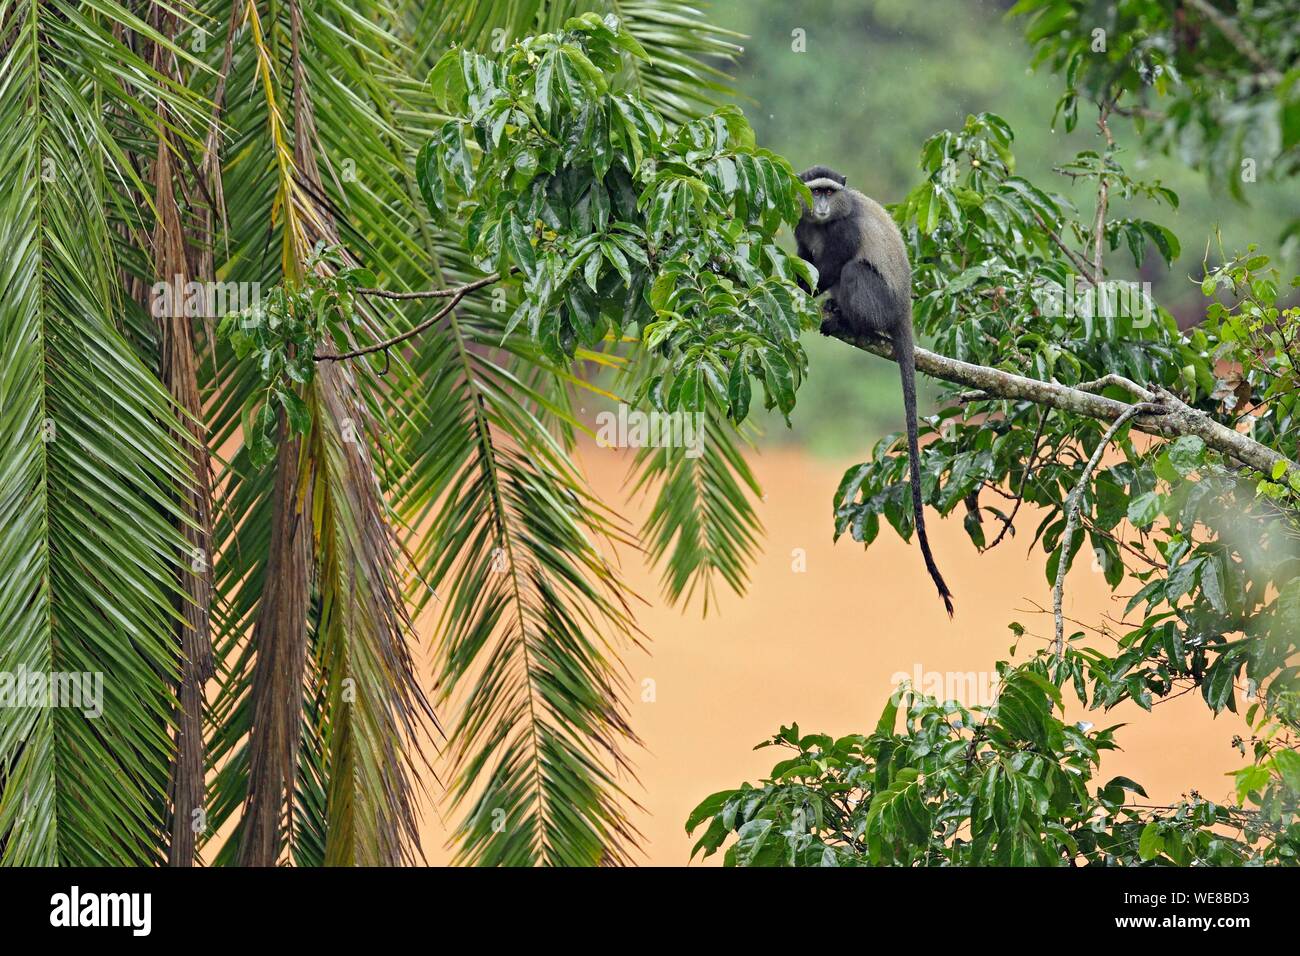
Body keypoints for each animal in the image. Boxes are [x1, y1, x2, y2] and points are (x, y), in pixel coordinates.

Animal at [794, 164, 954, 617]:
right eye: (815, 192)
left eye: (830, 192)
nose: (821, 206)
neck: (823, 223)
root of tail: (903, 310)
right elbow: (807, 263)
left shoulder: (845, 229)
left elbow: (831, 271)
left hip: (878, 301)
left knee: (852, 274)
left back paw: (847, 322)